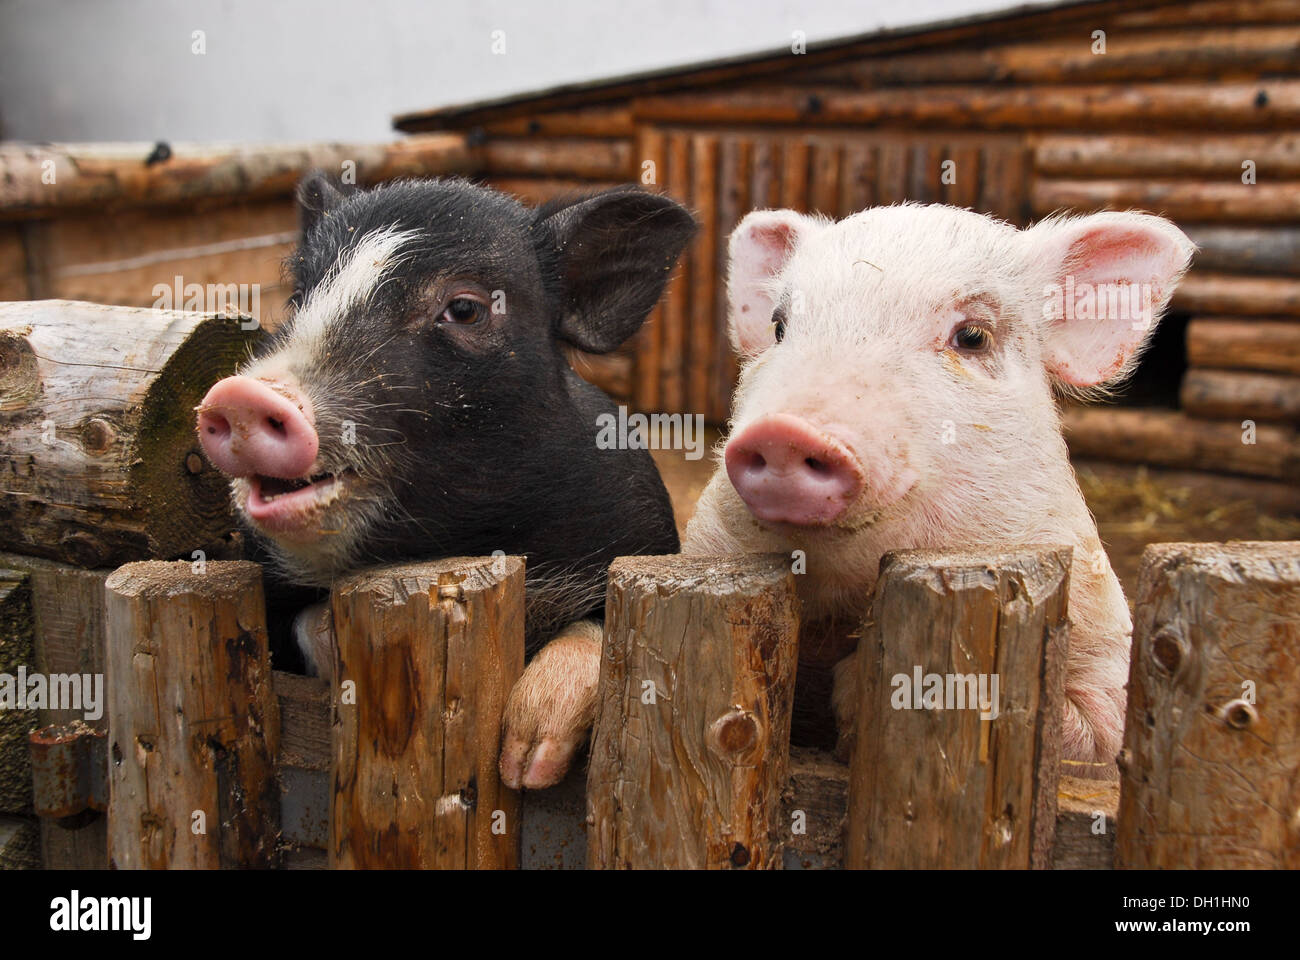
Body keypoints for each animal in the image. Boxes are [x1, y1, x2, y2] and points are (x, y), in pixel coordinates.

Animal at [196, 174, 696, 788]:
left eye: (463, 308)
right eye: (297, 299)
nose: (241, 395)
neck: (457, 539)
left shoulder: (642, 529)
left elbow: (600, 631)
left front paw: (524, 767)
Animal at [682, 202, 1194, 764]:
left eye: (972, 337)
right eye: (778, 326)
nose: (785, 433)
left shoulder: (1103, 640)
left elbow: (1089, 730)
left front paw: (854, 687)